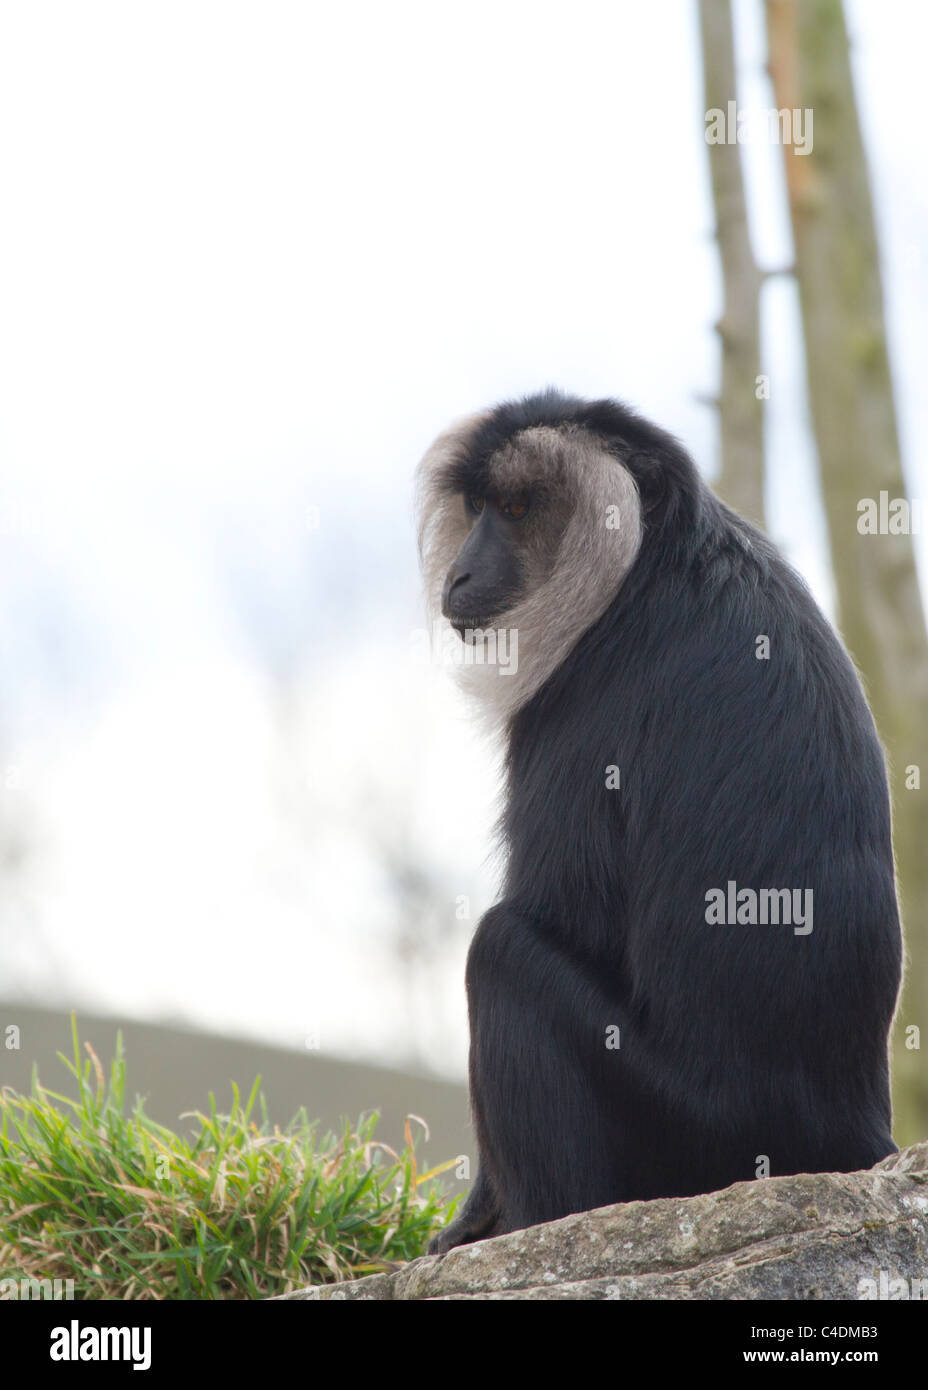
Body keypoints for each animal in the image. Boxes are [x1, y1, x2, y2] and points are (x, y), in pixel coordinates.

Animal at [416, 388, 902, 1255]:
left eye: (516, 508)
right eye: (477, 509)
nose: (461, 573)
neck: (647, 567)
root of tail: (847, 1140)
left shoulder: (581, 712)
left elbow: (560, 910)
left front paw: (476, 1219)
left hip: (694, 1130)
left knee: (504, 952)